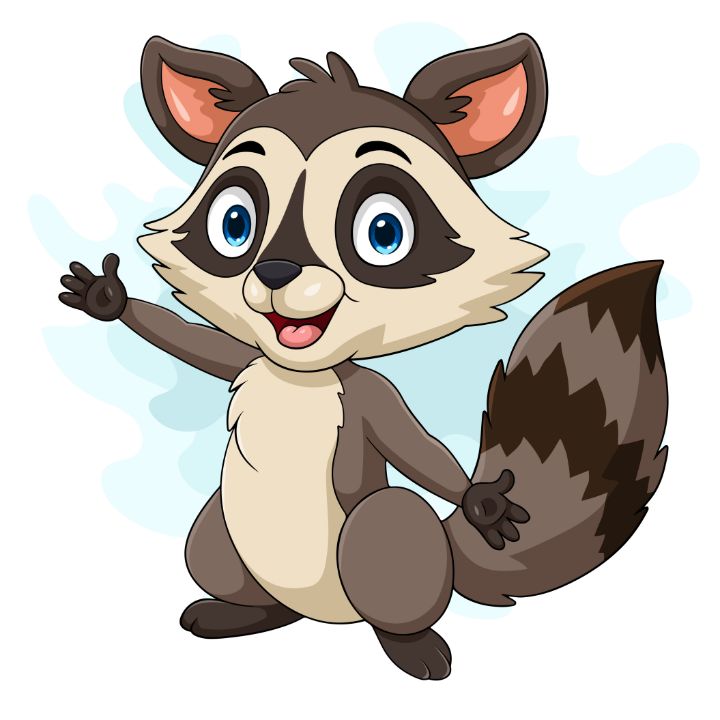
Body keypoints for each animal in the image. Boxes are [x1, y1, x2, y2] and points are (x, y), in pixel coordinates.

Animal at [58, 34, 668, 680]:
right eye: (235, 222)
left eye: (383, 231)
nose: (276, 271)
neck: (301, 377)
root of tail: (328, 616)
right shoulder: (245, 358)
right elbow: (188, 339)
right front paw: (108, 298)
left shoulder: (374, 396)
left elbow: (418, 450)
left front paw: (481, 501)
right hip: (217, 532)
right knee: (239, 578)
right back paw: (238, 615)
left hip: (385, 543)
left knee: (392, 532)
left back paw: (414, 648)